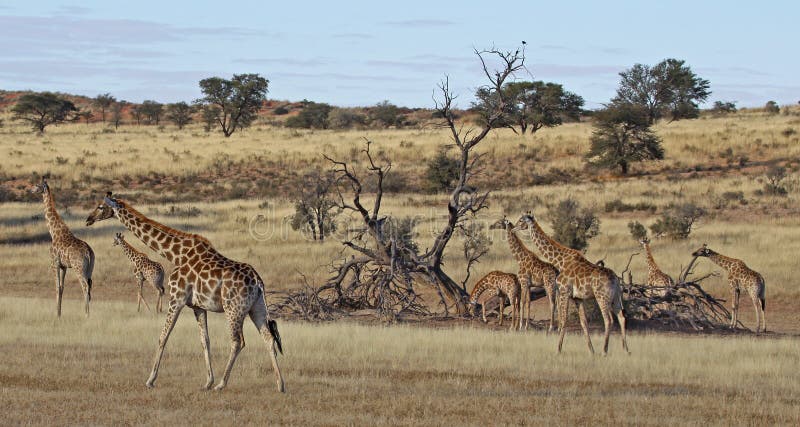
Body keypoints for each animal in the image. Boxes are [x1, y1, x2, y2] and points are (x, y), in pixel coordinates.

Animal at [30, 178, 94, 317]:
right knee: (90, 285)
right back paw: (89, 313)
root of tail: (88, 252)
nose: (30, 190)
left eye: (37, 185)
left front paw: (56, 314)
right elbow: (61, 288)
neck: (54, 231)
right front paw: (59, 313)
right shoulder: (64, 266)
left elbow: (56, 287)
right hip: (90, 268)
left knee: (85, 286)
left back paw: (86, 314)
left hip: (78, 267)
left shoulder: (54, 263)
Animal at [86, 193, 285, 392]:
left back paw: (222, 384)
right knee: (268, 338)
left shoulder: (176, 298)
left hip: (233, 309)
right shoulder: (198, 306)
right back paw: (280, 385)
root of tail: (258, 282)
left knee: (238, 341)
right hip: (256, 308)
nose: (88, 219)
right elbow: (205, 341)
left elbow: (163, 336)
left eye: (101, 207)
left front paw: (150, 380)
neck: (176, 254)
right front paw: (207, 381)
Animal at [516, 212, 629, 355]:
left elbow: (564, 320)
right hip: (616, 297)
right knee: (621, 317)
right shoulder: (577, 298)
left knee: (608, 320)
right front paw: (591, 350)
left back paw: (604, 351)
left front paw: (558, 349)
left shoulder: (564, 291)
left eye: (521, 220)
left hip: (602, 297)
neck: (560, 260)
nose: (513, 227)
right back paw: (626, 350)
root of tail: (615, 280)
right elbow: (583, 322)